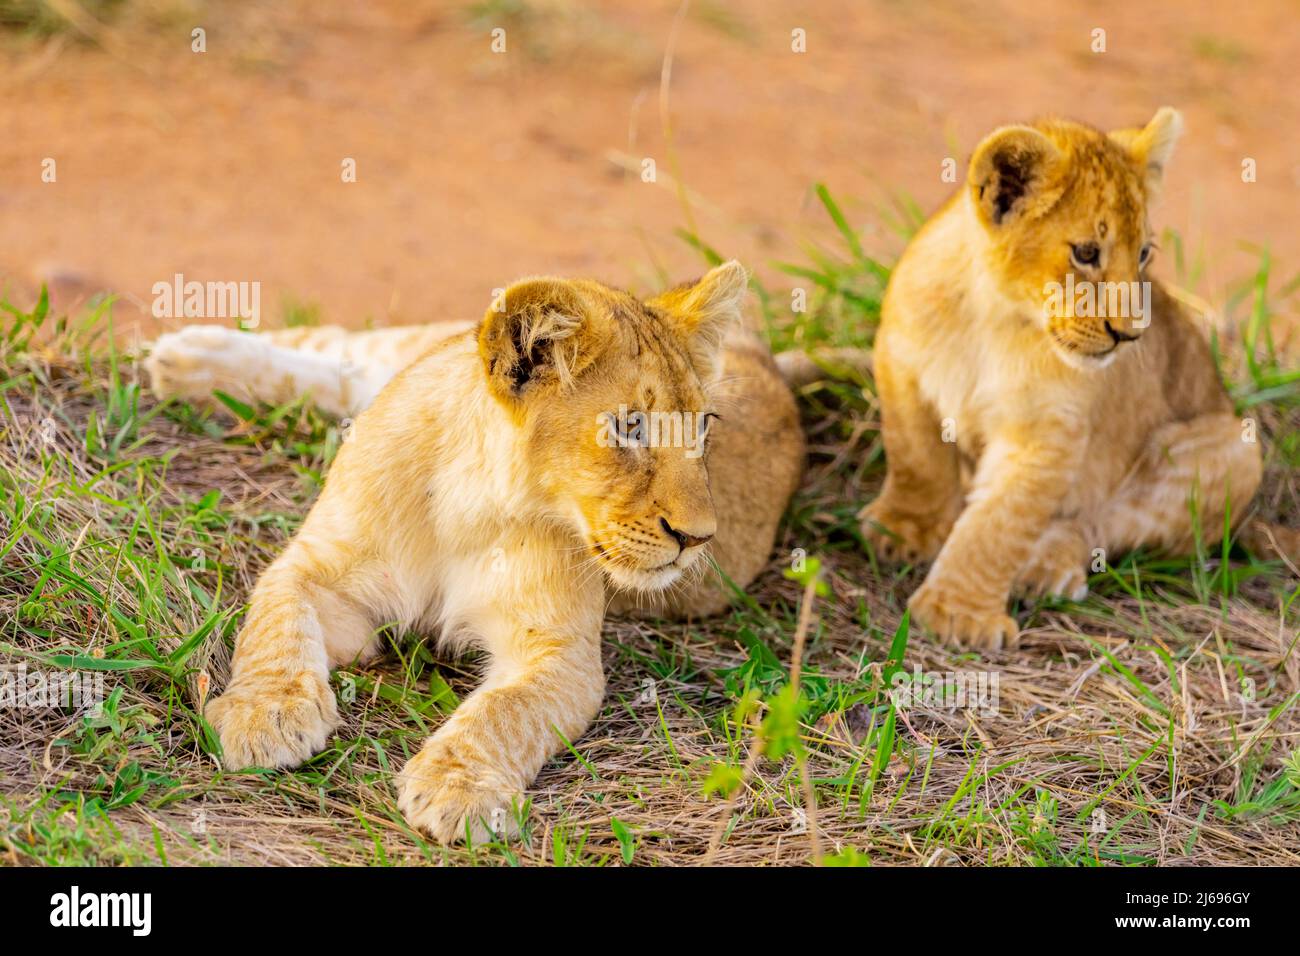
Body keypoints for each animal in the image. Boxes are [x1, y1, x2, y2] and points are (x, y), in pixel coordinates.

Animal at [146, 261, 831, 842]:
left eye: (705, 427)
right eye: (628, 427)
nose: (699, 538)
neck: (471, 502)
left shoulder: (560, 651)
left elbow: (504, 710)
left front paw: (460, 789)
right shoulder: (316, 570)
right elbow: (275, 623)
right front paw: (263, 716)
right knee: (344, 349)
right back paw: (184, 357)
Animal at [860, 108, 1292, 650]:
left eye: (1144, 253)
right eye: (1086, 253)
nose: (1130, 335)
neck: (997, 316)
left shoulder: (1047, 429)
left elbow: (1000, 521)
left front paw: (958, 614)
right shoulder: (901, 363)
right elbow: (916, 459)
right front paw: (903, 532)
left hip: (1233, 449)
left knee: (1099, 522)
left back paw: (1045, 568)